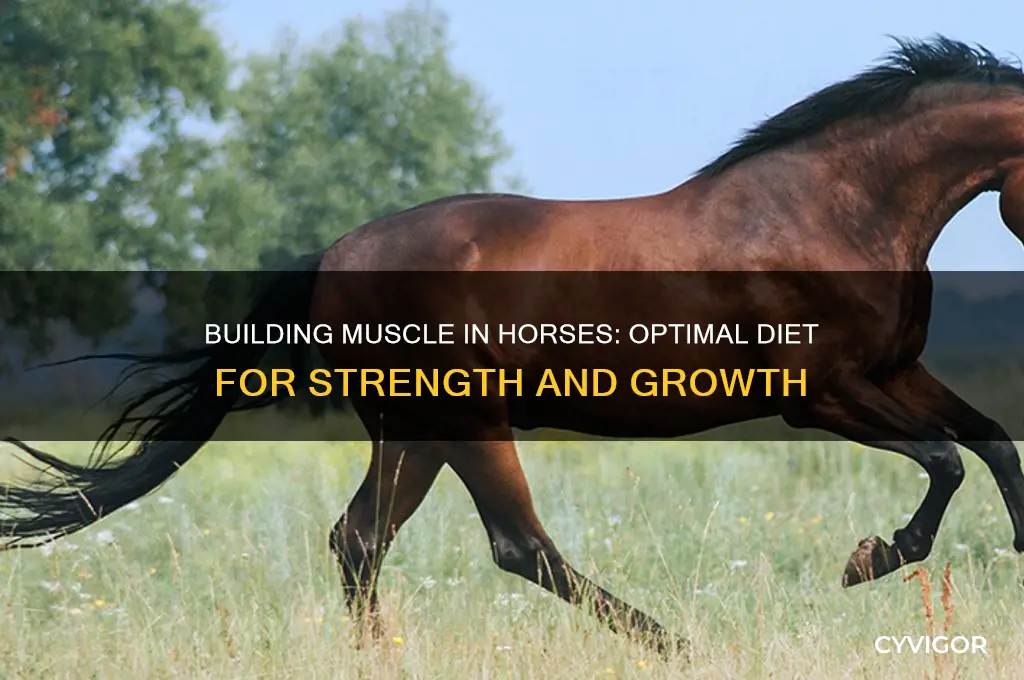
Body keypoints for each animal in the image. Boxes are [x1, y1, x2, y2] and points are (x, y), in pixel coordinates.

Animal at [4, 35, 1024, 658]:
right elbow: (945, 461)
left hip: (412, 430)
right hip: (465, 420)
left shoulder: (895, 372)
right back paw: (680, 643)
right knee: (518, 545)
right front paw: (867, 559)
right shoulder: (821, 393)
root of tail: (336, 254)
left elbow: (991, 443)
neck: (832, 209)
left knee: (360, 538)